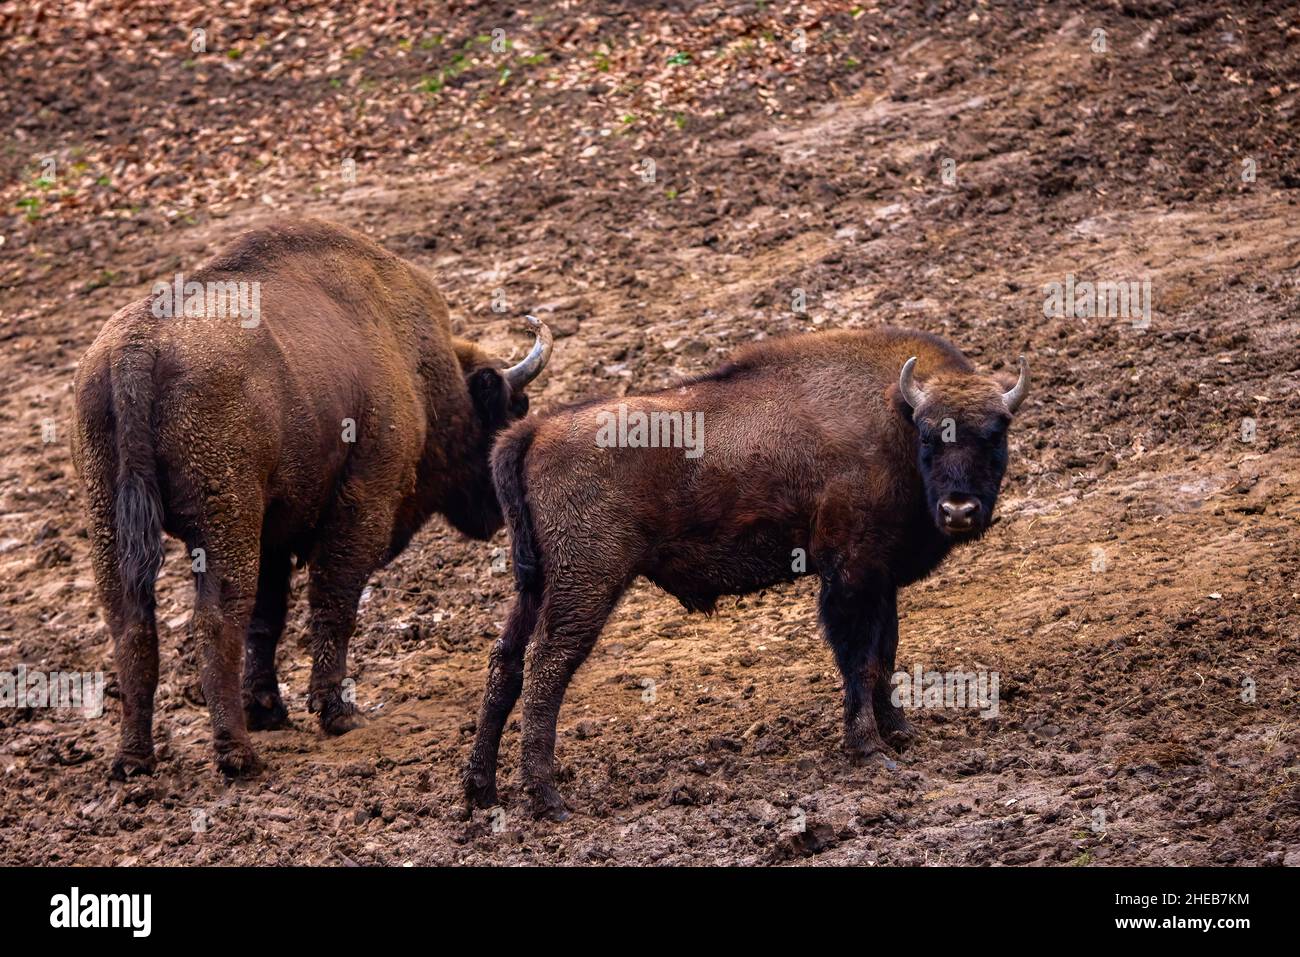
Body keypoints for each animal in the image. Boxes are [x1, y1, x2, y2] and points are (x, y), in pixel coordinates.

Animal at [72, 219, 552, 778]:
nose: (497, 513)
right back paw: (237, 755)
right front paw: (338, 713)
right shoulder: (363, 502)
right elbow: (333, 601)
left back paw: (135, 759)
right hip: (224, 523)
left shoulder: (273, 535)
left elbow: (269, 618)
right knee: (216, 621)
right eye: (512, 409)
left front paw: (268, 709)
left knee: (131, 624)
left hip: (110, 517)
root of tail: (137, 349)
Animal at [464, 327, 1028, 819]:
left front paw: (902, 734)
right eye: (931, 436)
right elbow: (858, 660)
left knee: (506, 662)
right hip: (585, 582)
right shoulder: (849, 574)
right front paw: (869, 749)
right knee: (547, 664)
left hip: (535, 584)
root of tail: (535, 429)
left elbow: (884, 655)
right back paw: (547, 799)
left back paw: (480, 792)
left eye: (995, 433)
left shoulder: (878, 578)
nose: (959, 509)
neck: (894, 415)